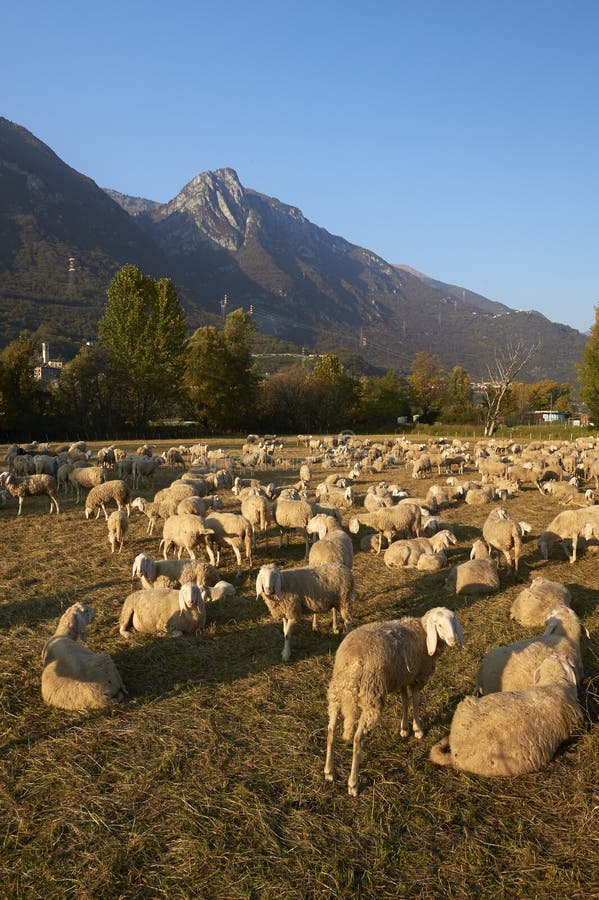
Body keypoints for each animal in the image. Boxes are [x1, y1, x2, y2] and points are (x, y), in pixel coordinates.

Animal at [324, 607, 465, 796]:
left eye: (452, 621)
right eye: (439, 625)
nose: (453, 640)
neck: (423, 632)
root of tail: (351, 665)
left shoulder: (402, 677)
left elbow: (405, 701)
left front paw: (404, 728)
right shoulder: (417, 677)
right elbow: (416, 702)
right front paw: (418, 730)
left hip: (336, 694)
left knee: (331, 730)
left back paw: (329, 772)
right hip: (371, 696)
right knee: (357, 739)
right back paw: (353, 783)